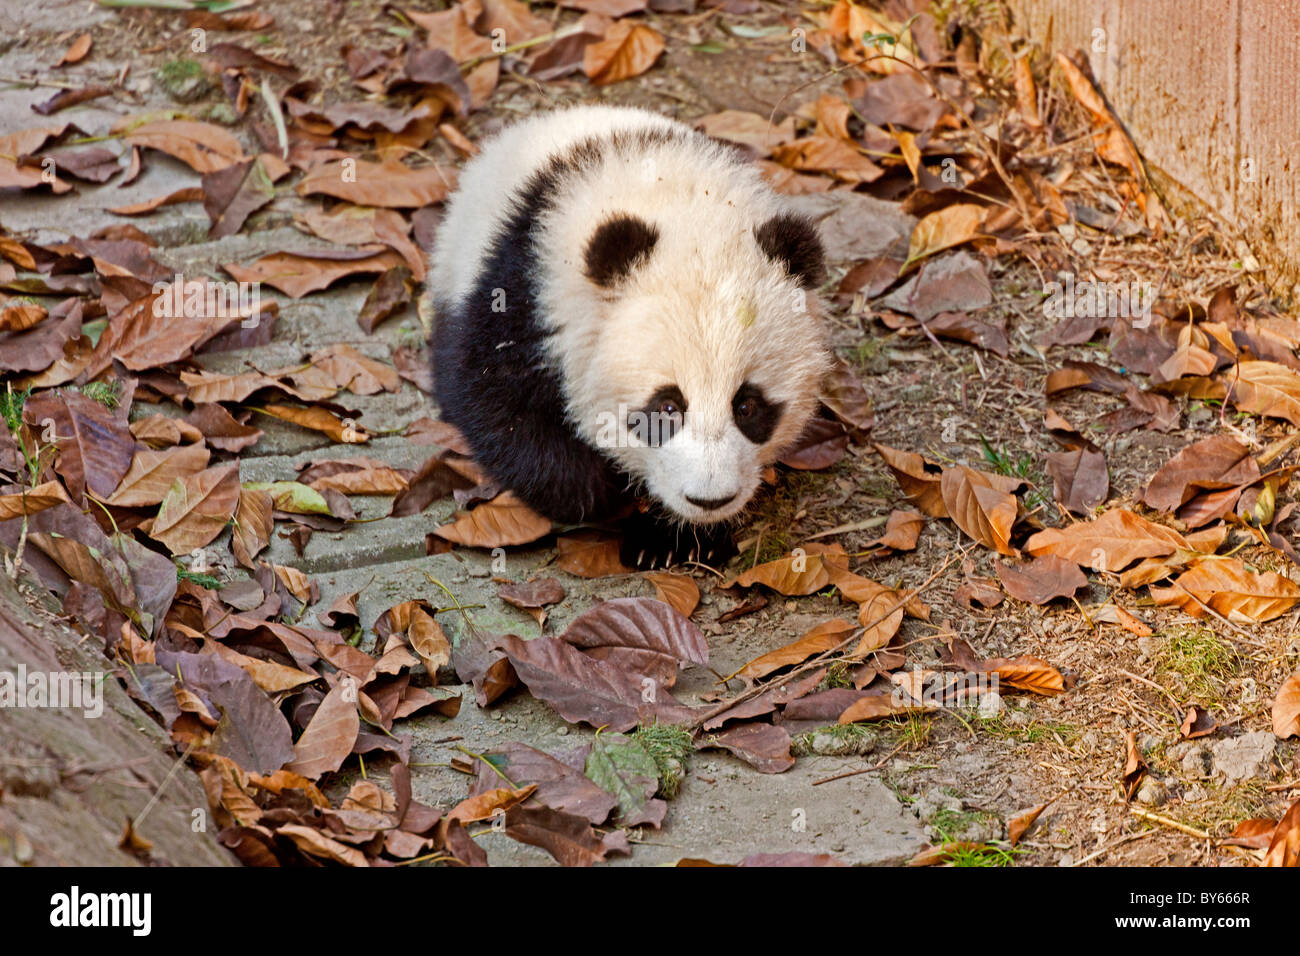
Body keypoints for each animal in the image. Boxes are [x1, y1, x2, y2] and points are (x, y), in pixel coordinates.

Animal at [428, 105, 830, 568]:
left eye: (747, 405)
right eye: (667, 406)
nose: (710, 499)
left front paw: (674, 538)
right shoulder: (525, 291)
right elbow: (496, 401)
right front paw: (604, 492)